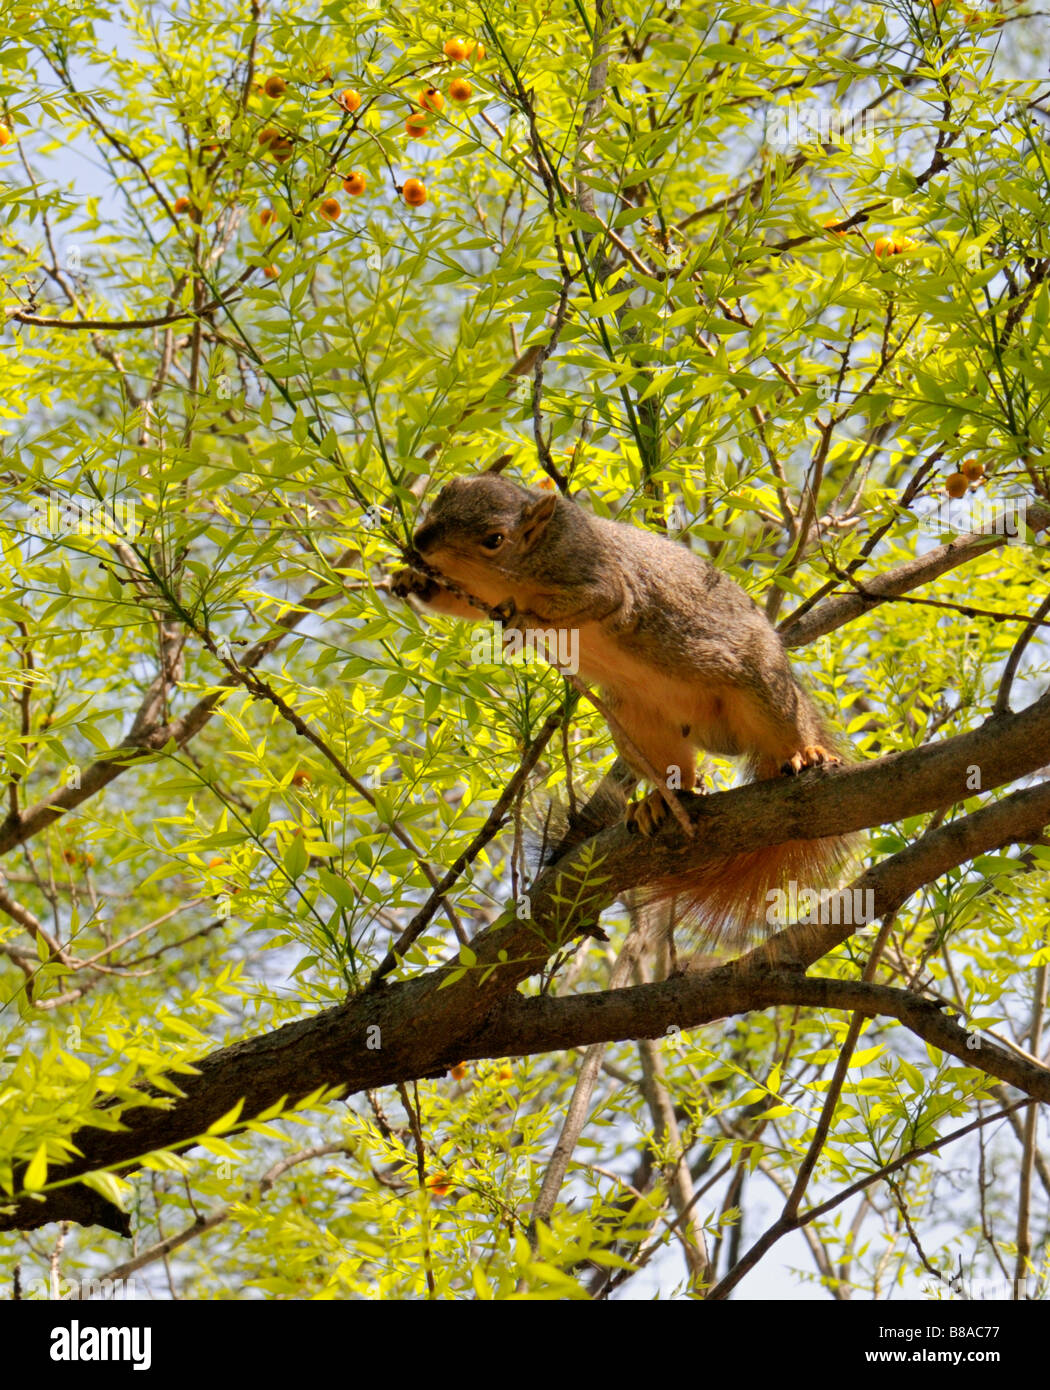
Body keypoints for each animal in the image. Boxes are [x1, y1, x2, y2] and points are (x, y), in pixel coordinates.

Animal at [392, 471, 851, 941]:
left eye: (494, 539)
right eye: (445, 493)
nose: (420, 541)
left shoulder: (598, 576)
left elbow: (593, 600)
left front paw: (525, 620)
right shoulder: (474, 592)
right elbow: (456, 603)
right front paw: (412, 580)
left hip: (762, 687)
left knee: (786, 726)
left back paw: (807, 753)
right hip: (638, 726)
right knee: (678, 772)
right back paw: (663, 800)